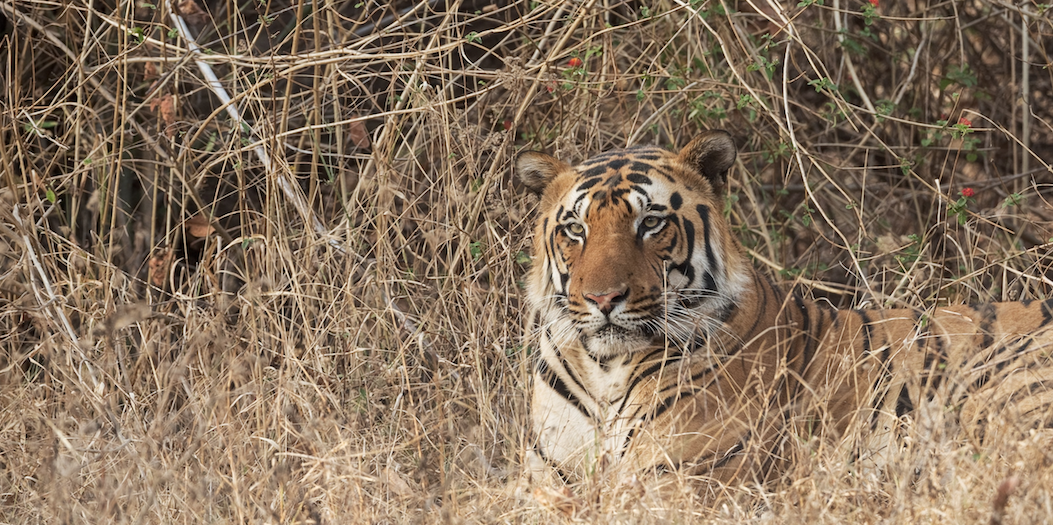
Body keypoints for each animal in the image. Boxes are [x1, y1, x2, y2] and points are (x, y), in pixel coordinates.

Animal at [516, 130, 1053, 485]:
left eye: (650, 222)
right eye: (575, 229)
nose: (603, 299)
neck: (604, 369)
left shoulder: (674, 480)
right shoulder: (545, 479)